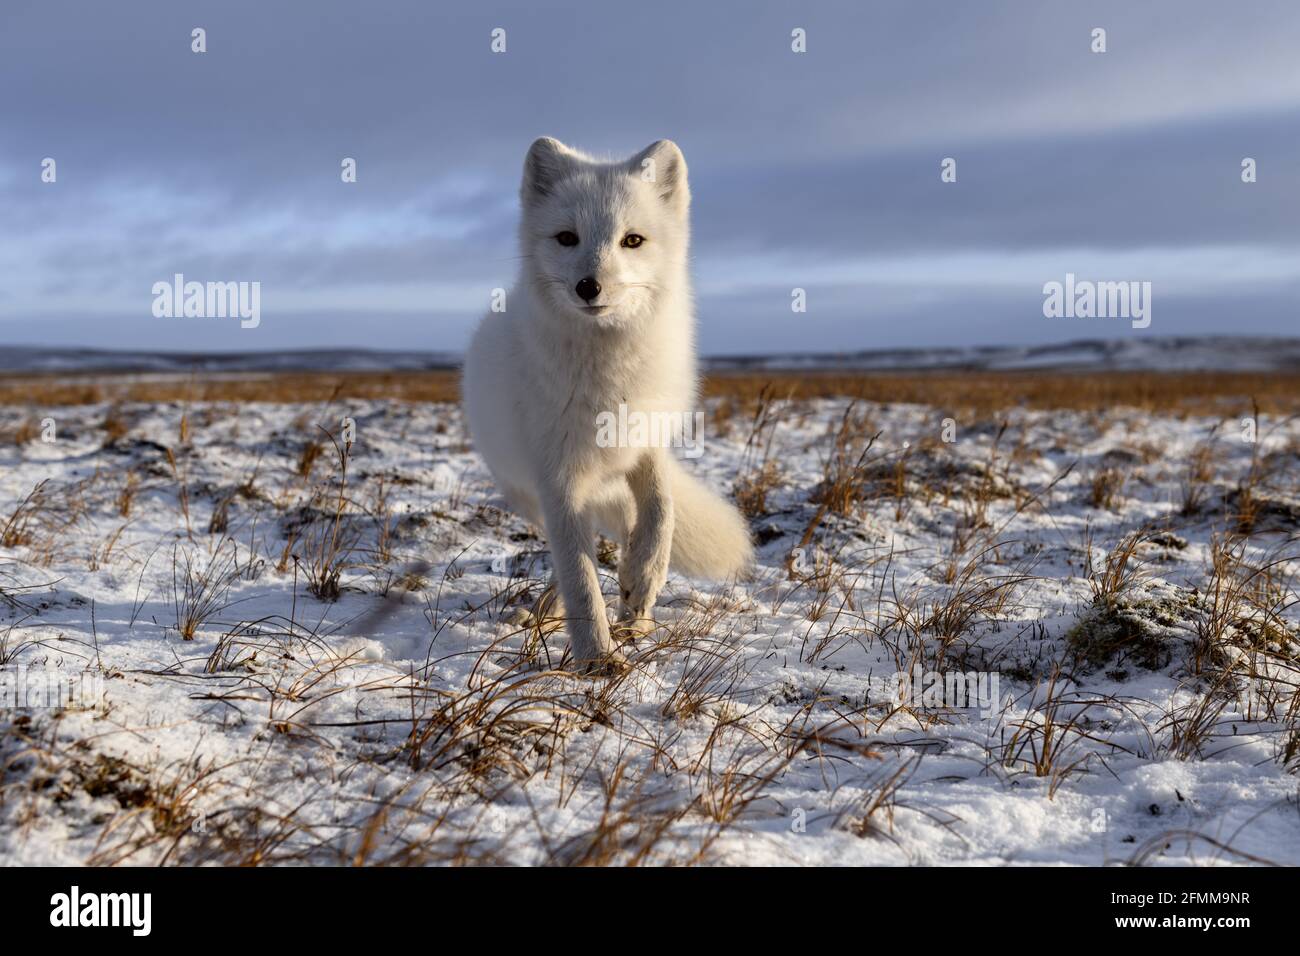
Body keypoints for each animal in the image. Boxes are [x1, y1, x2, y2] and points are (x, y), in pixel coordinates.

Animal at [462, 137, 753, 667]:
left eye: (632, 241)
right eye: (566, 238)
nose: (589, 286)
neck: (609, 371)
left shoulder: (644, 442)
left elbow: (661, 512)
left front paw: (642, 582)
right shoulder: (558, 478)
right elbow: (580, 576)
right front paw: (597, 660)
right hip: (529, 495)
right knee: (573, 552)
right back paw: (552, 610)